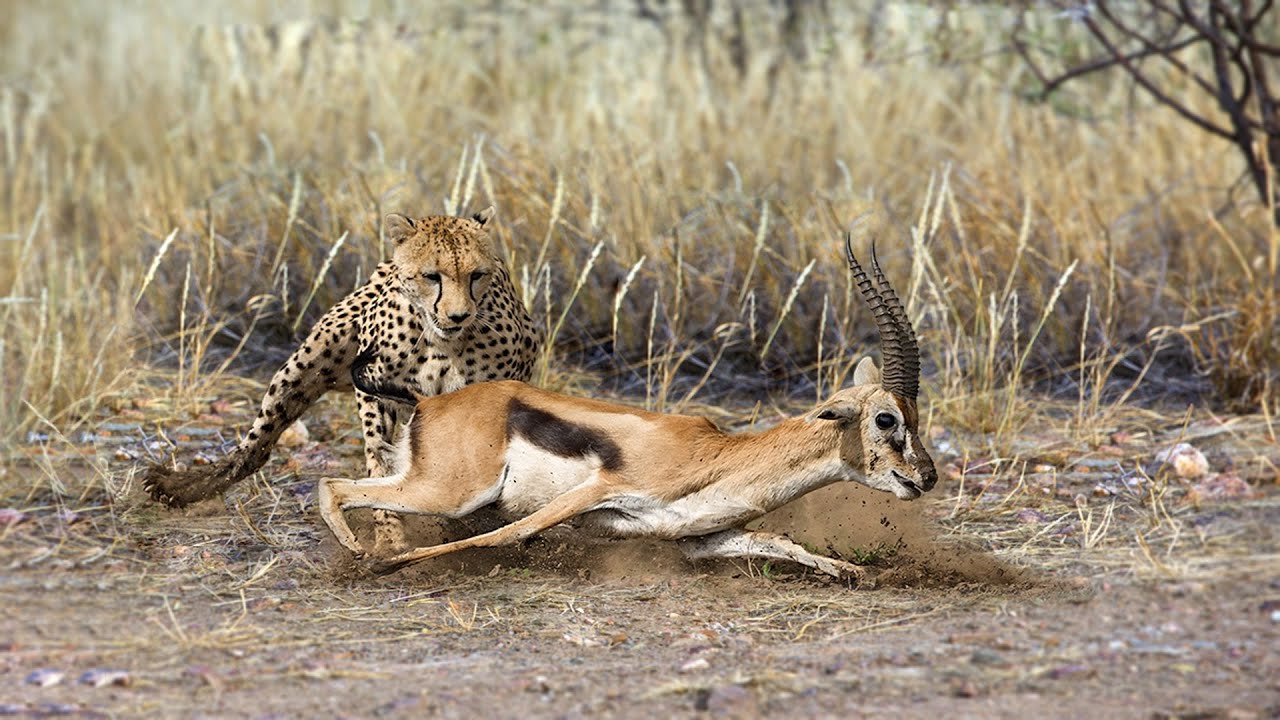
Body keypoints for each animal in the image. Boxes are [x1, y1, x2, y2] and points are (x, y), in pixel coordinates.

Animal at [143, 207, 542, 550]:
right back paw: (181, 486)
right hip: (308, 363)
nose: (459, 315)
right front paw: (389, 536)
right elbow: (380, 458)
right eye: (432, 276)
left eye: (477, 275)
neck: (439, 340)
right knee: (255, 448)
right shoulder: (373, 385)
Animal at [317, 236, 937, 582]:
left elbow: (779, 541)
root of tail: (433, 401)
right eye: (887, 419)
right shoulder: (596, 491)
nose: (926, 476)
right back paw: (361, 556)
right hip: (453, 492)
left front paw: (853, 571)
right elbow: (506, 535)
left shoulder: (696, 537)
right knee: (332, 485)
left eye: (917, 418)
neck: (719, 456)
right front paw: (385, 567)